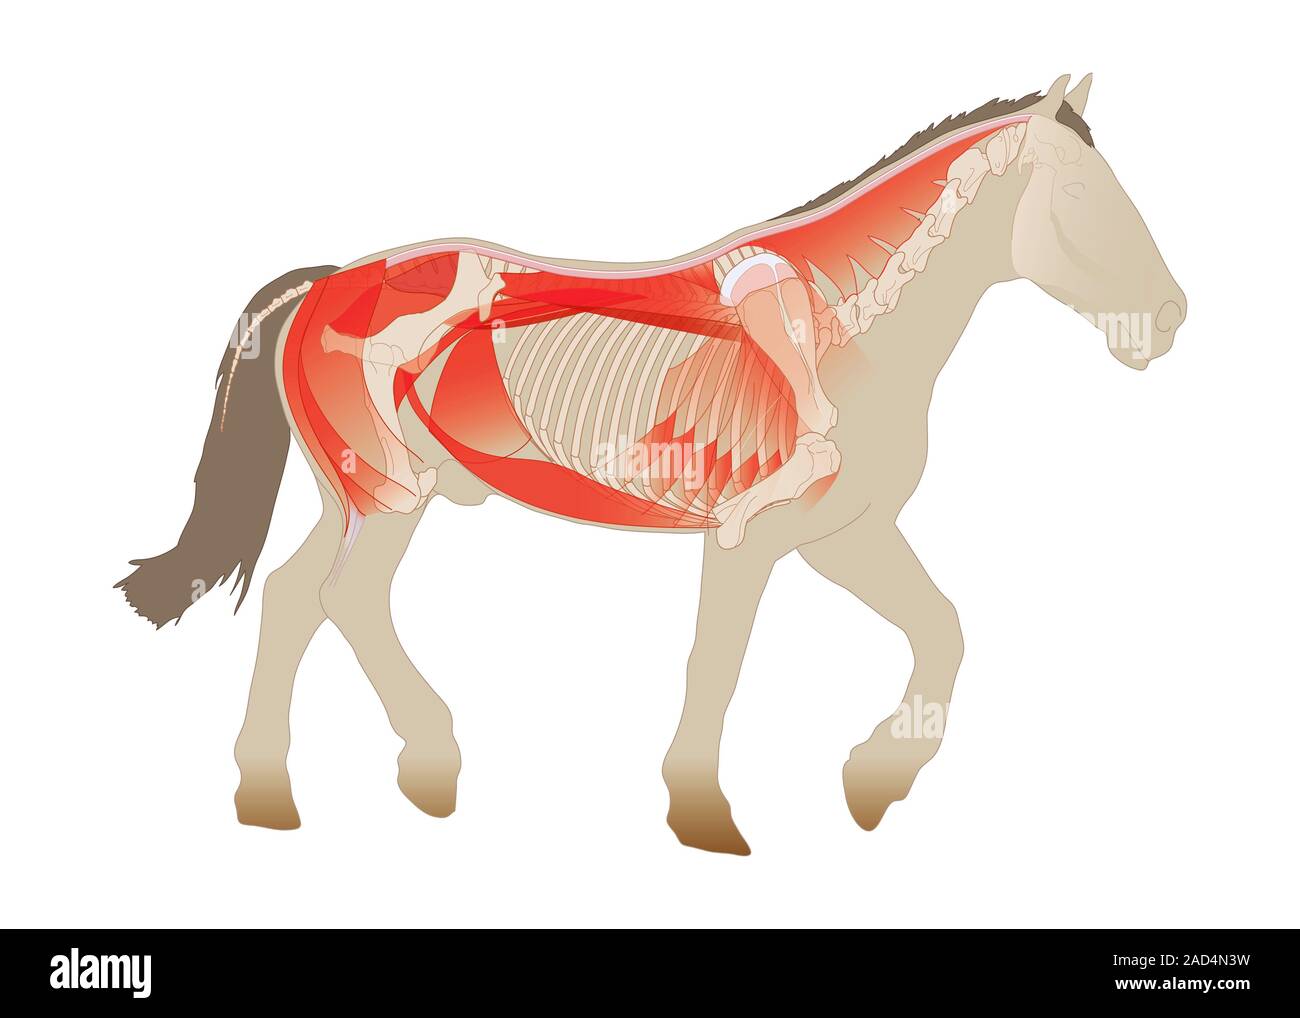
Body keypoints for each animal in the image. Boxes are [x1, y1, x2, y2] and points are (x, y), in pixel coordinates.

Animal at [117, 74, 1184, 855]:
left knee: (298, 597)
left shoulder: (846, 536)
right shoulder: (753, 538)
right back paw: (420, 764)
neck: (842, 325)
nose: (1168, 318)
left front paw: (873, 783)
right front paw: (702, 814)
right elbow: (718, 661)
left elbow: (944, 632)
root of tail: (328, 281)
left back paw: (275, 793)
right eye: (1080, 194)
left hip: (360, 493)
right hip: (388, 491)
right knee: (342, 598)